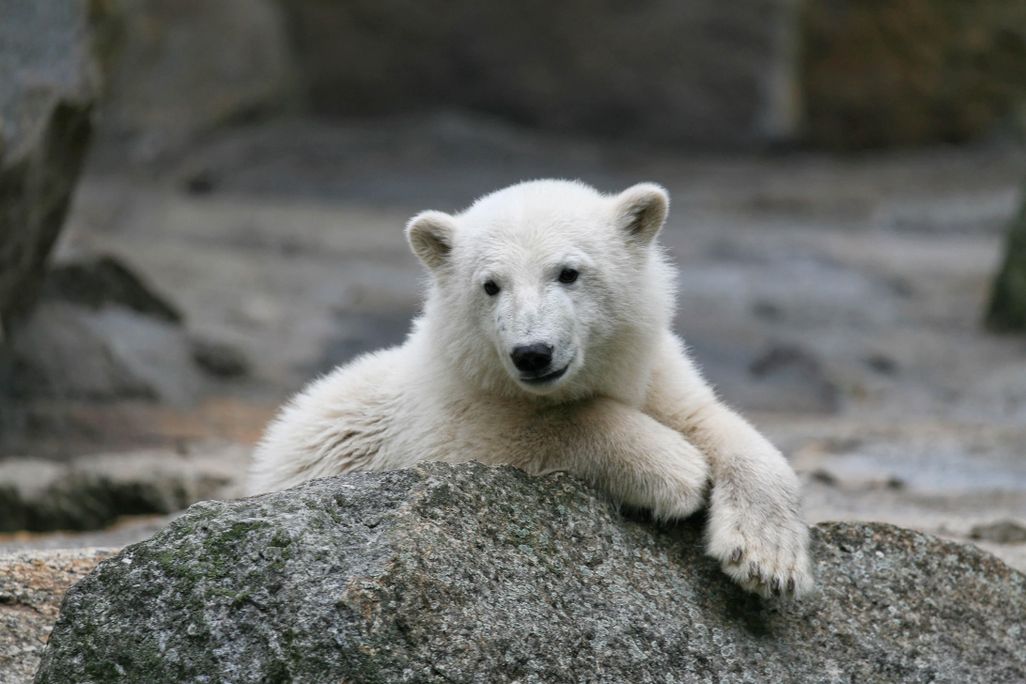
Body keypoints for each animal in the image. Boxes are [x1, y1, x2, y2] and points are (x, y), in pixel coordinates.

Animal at [248, 179, 813, 598]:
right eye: (490, 285)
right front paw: (675, 471)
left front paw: (766, 559)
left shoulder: (655, 372)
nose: (532, 353)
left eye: (568, 272)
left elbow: (714, 421)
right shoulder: (443, 420)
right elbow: (528, 429)